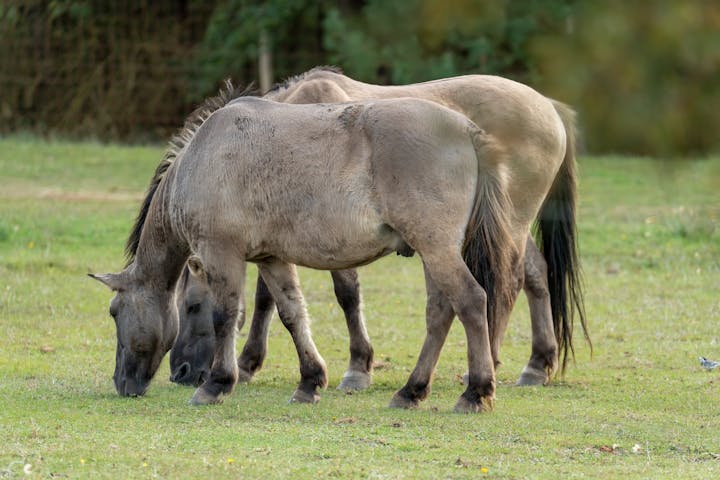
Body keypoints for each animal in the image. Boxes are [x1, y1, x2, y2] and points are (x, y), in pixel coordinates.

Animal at [91, 92, 527, 412]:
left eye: (114, 312)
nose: (122, 383)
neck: (204, 157)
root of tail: (468, 130)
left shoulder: (222, 254)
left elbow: (225, 316)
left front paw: (216, 384)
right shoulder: (271, 259)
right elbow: (291, 314)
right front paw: (310, 382)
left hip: (437, 250)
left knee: (470, 302)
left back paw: (475, 392)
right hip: (433, 253)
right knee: (440, 313)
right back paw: (411, 391)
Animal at [168, 67, 588, 391]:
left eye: (191, 306)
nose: (179, 372)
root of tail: (548, 106)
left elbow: (341, 294)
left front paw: (356, 368)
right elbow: (270, 296)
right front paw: (251, 362)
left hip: (504, 225)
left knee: (508, 282)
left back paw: (488, 367)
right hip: (508, 225)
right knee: (534, 274)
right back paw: (536, 364)